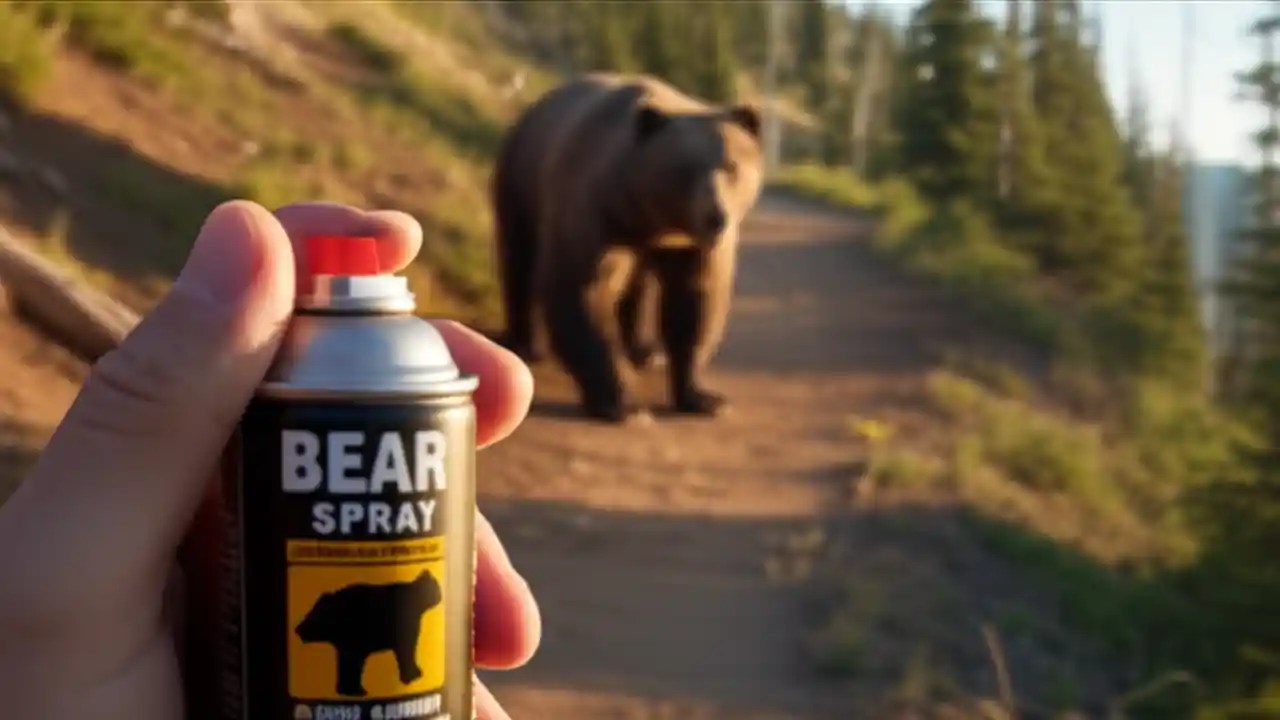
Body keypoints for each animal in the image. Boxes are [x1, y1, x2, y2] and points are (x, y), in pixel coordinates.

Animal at [492, 73, 764, 423]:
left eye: (731, 166)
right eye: (683, 168)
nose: (716, 216)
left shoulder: (691, 247)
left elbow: (695, 303)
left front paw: (705, 398)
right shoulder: (595, 212)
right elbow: (583, 289)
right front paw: (622, 403)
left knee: (637, 284)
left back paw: (642, 351)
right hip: (521, 180)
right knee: (519, 258)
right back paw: (525, 344)